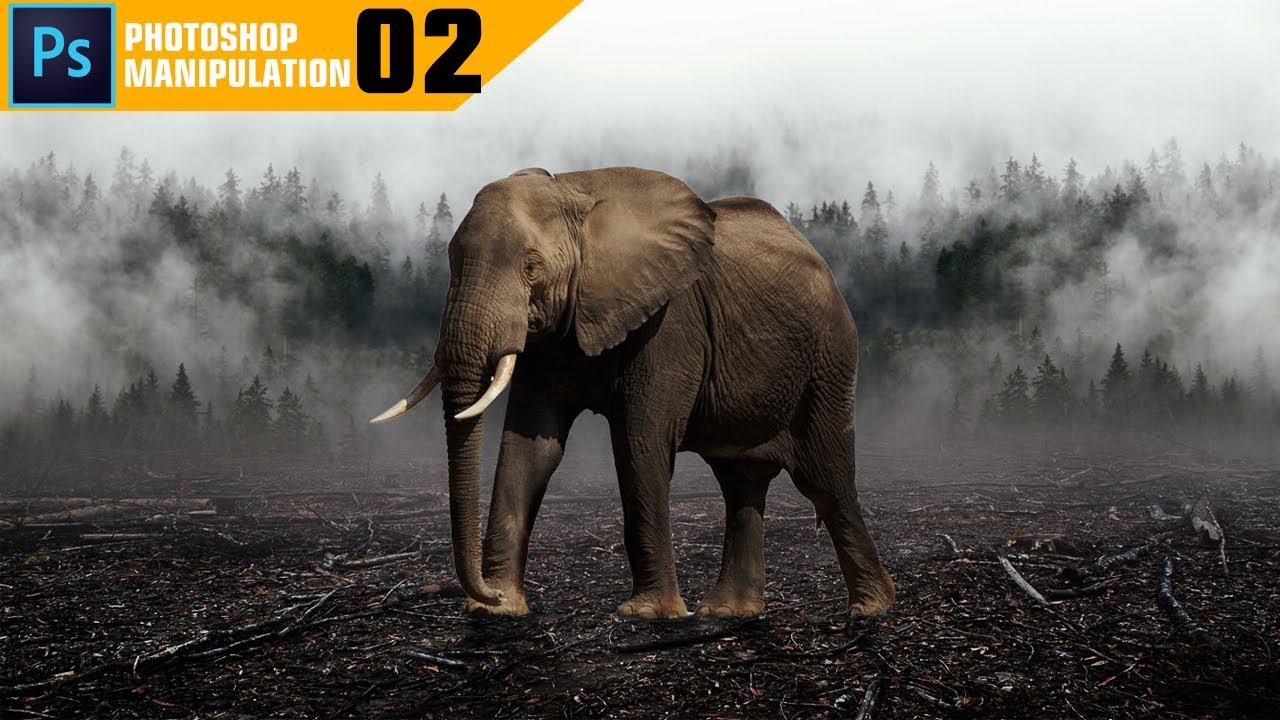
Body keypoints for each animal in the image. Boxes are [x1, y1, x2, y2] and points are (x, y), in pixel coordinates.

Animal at [371, 166, 894, 620]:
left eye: (531, 267)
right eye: (450, 260)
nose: (484, 592)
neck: (574, 194)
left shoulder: (670, 321)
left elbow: (640, 440)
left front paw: (645, 616)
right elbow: (530, 448)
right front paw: (496, 610)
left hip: (828, 362)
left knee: (825, 480)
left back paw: (870, 609)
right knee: (740, 483)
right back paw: (727, 613)